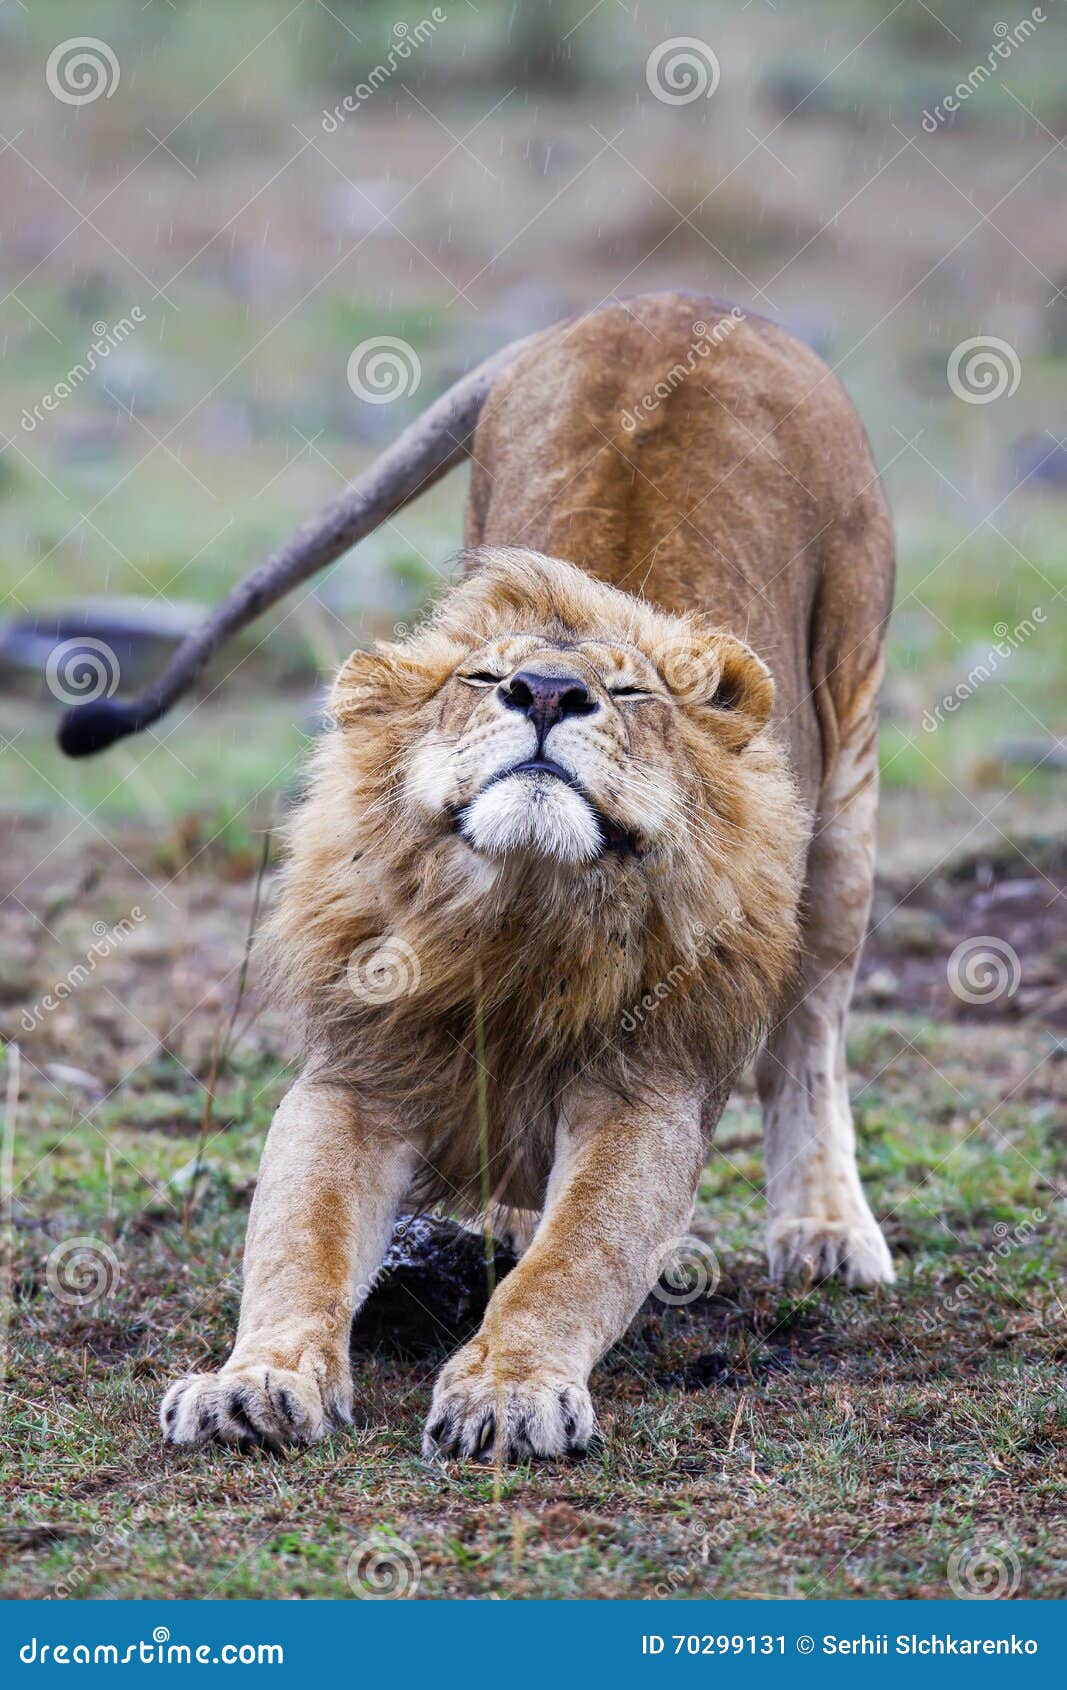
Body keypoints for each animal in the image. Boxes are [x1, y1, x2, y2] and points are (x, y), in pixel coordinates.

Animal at [59, 294, 894, 1459]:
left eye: (631, 690)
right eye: (484, 675)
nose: (544, 691)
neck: (518, 916)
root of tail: (673, 300)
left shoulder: (650, 1093)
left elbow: (574, 1259)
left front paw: (509, 1388)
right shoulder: (354, 1078)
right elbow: (296, 1246)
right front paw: (253, 1382)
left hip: (846, 773)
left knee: (809, 1026)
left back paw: (823, 1230)